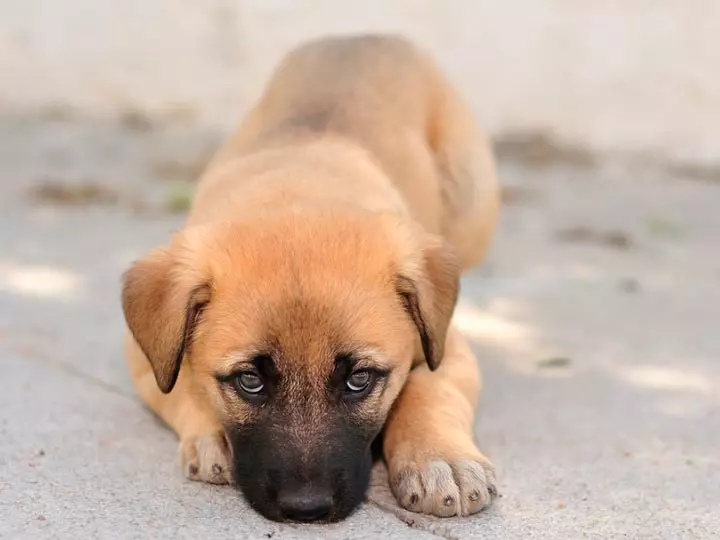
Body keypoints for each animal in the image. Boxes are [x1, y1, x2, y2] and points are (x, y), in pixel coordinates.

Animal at [119, 34, 500, 524]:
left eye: (360, 379)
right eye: (249, 380)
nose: (307, 509)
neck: (299, 191)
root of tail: (364, 35)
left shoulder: (446, 344)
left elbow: (431, 387)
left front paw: (441, 460)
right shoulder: (146, 356)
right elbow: (182, 385)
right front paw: (209, 435)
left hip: (473, 200)